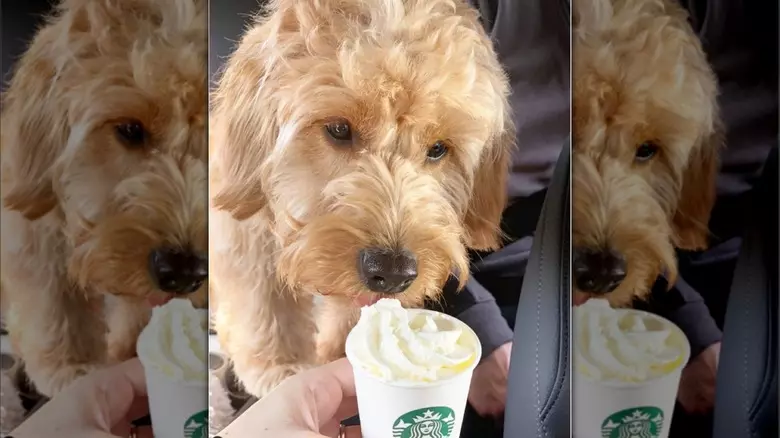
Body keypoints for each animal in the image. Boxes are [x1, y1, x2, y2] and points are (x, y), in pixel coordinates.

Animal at [210, 0, 516, 398]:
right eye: (339, 129)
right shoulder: (243, 236)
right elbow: (262, 295)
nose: (393, 272)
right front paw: (280, 364)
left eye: (438, 148)